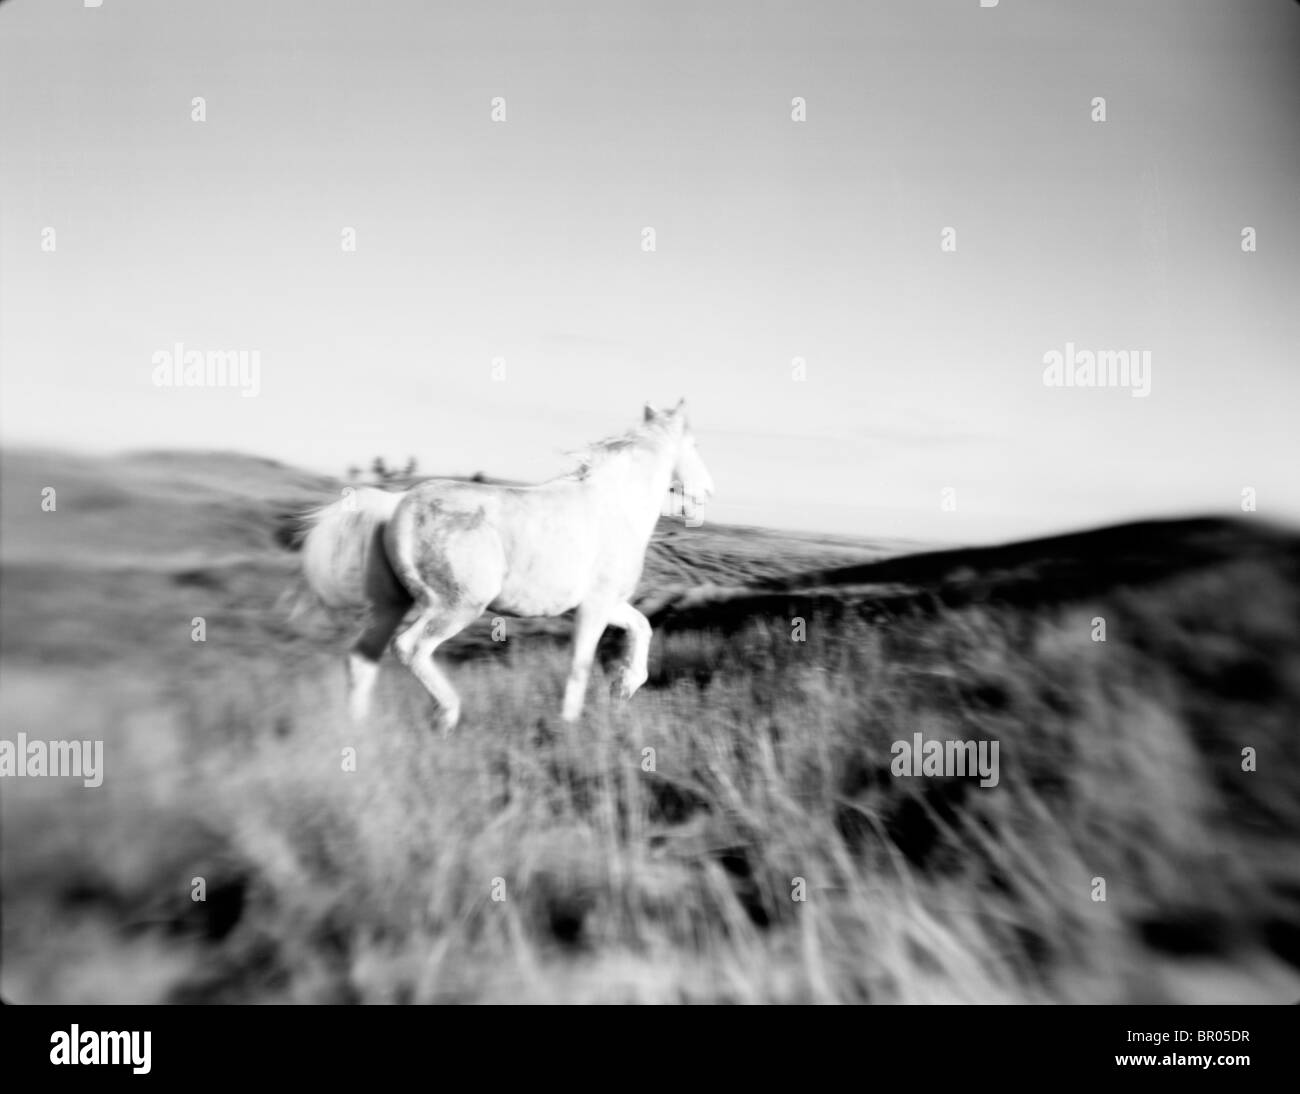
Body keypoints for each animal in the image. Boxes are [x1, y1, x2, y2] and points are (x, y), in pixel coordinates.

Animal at [299, 399, 715, 730]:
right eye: (694, 444)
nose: (706, 493)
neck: (616, 507)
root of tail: (396, 503)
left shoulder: (605, 604)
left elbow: (642, 627)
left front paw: (624, 686)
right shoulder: (595, 606)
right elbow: (580, 664)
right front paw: (570, 723)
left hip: (392, 604)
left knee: (362, 660)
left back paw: (360, 735)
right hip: (456, 606)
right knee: (409, 648)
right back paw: (446, 714)